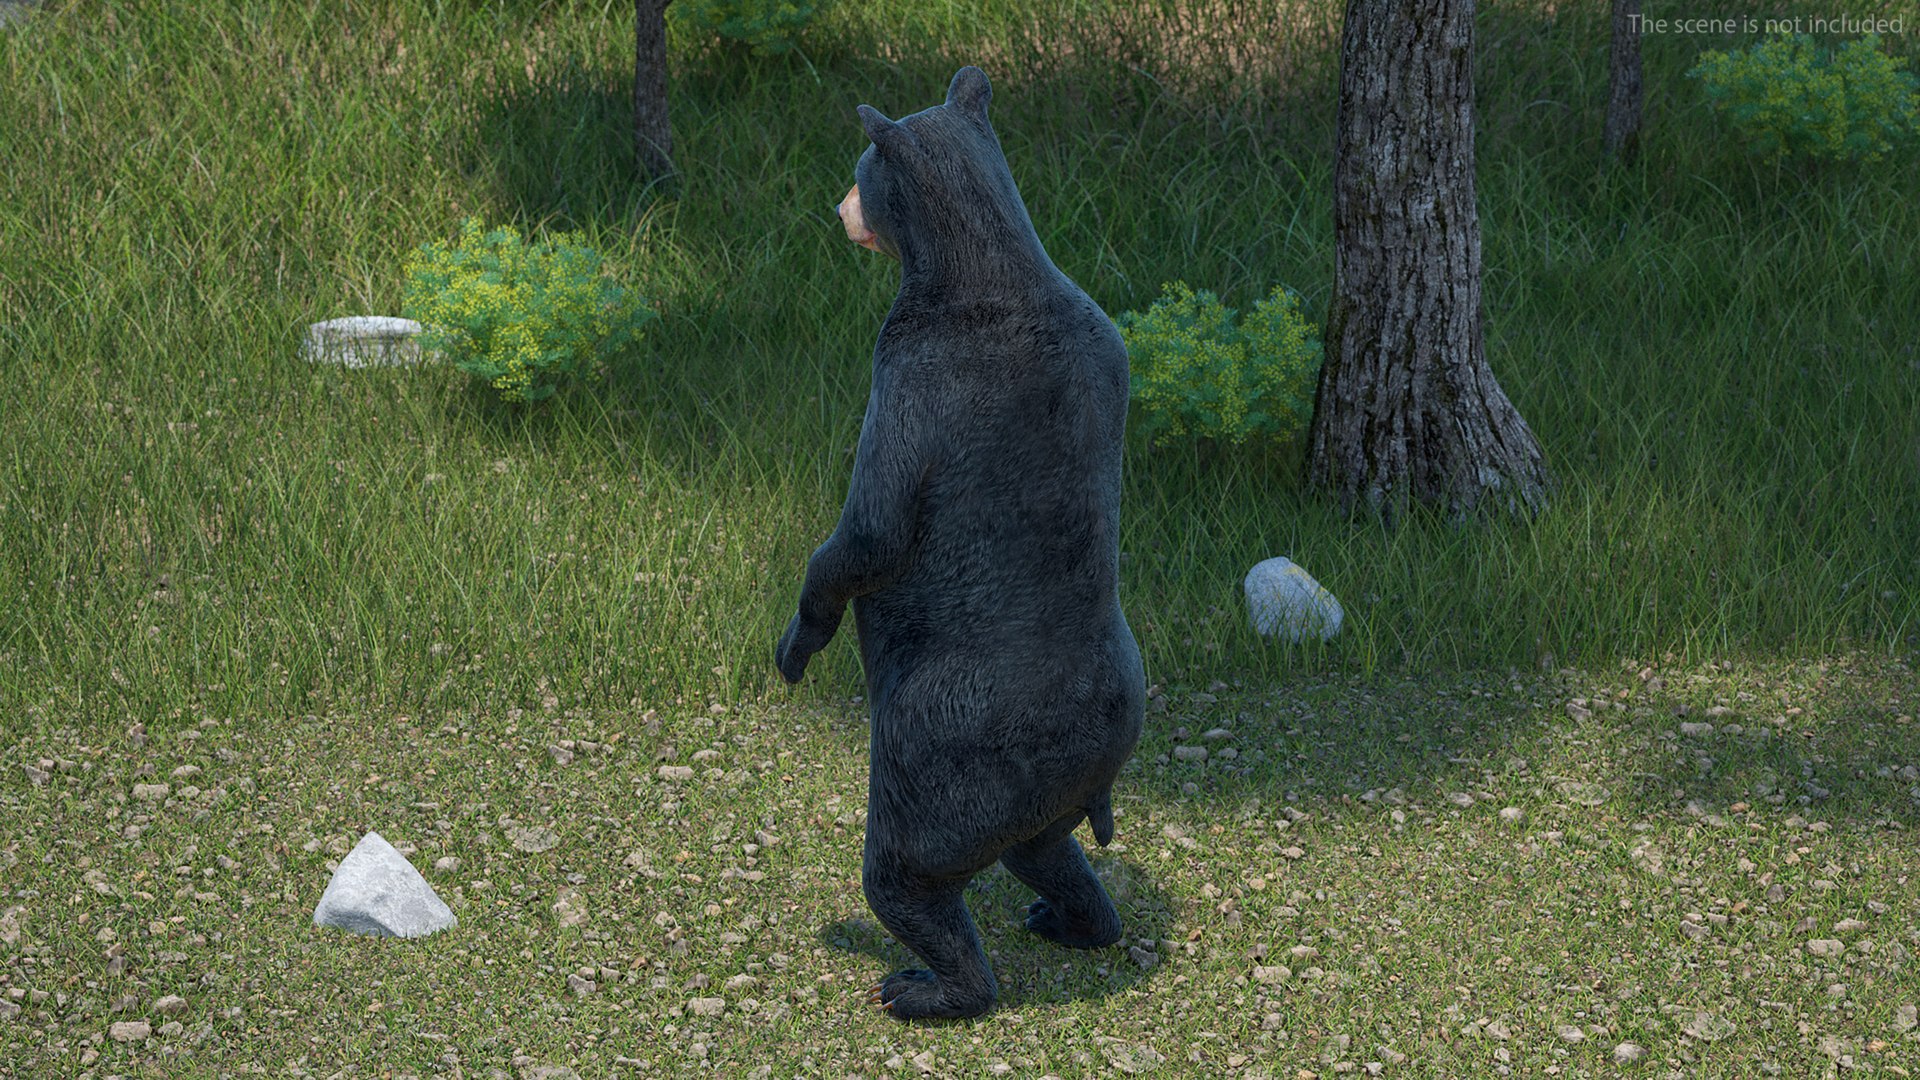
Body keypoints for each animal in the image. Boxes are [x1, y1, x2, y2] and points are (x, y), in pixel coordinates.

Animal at [775, 65, 1146, 1021]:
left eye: (863, 169)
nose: (838, 206)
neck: (981, 264)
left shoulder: (911, 372)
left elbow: (870, 527)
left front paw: (797, 642)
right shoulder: (1103, 338)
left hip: (946, 742)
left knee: (905, 865)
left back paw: (930, 985)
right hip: (1049, 777)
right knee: (1041, 848)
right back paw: (1075, 918)